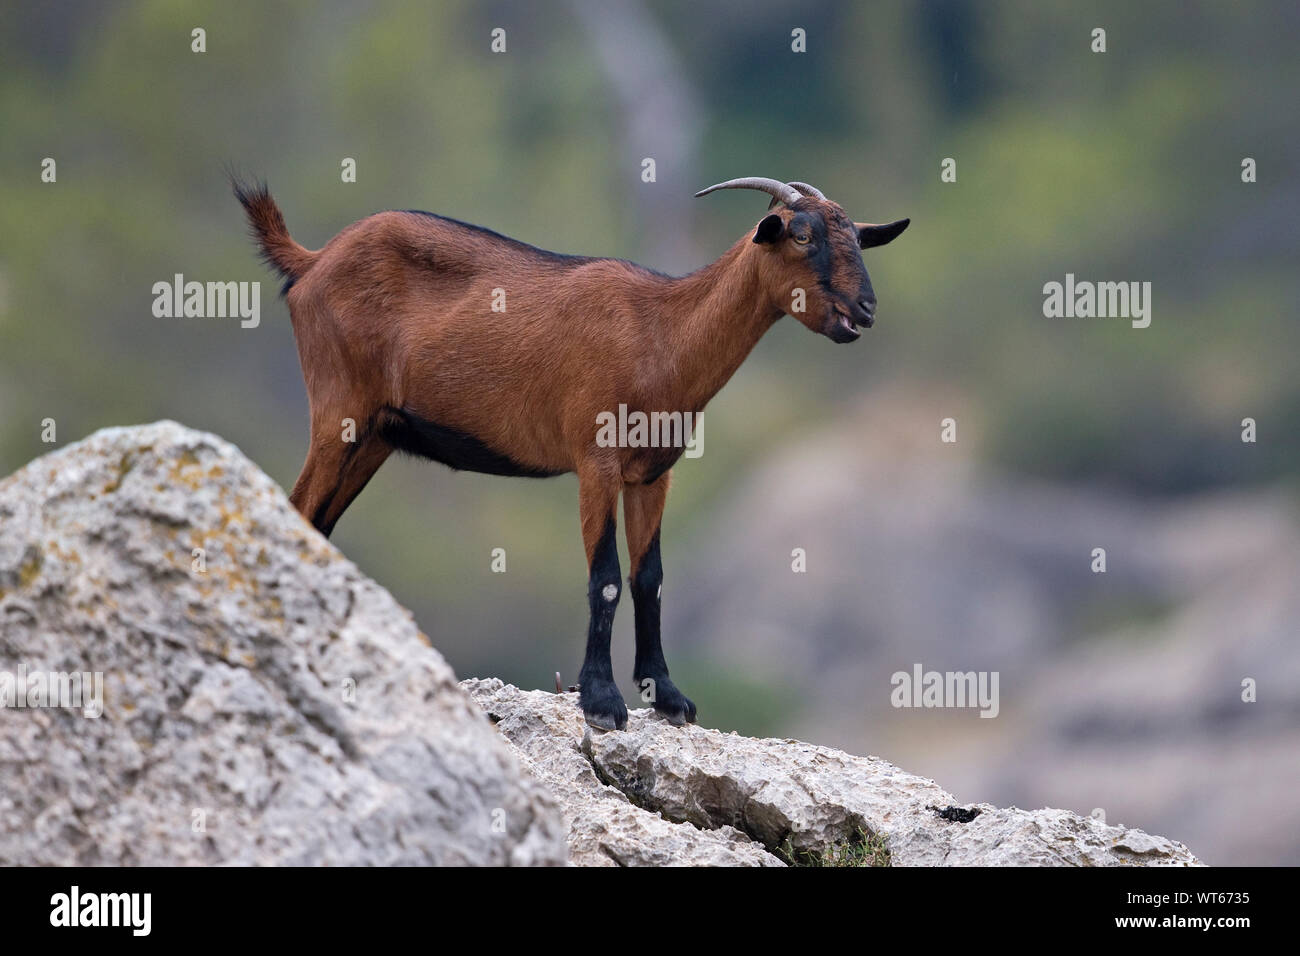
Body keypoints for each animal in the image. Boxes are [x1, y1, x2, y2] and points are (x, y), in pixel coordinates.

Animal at [234, 175, 908, 730]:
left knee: (316, 522)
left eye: (857, 237)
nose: (866, 309)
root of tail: (313, 259)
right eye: (801, 234)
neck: (661, 334)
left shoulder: (653, 473)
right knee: (298, 506)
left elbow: (649, 578)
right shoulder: (595, 461)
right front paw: (602, 700)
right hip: (337, 411)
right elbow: (605, 578)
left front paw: (667, 695)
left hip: (376, 435)